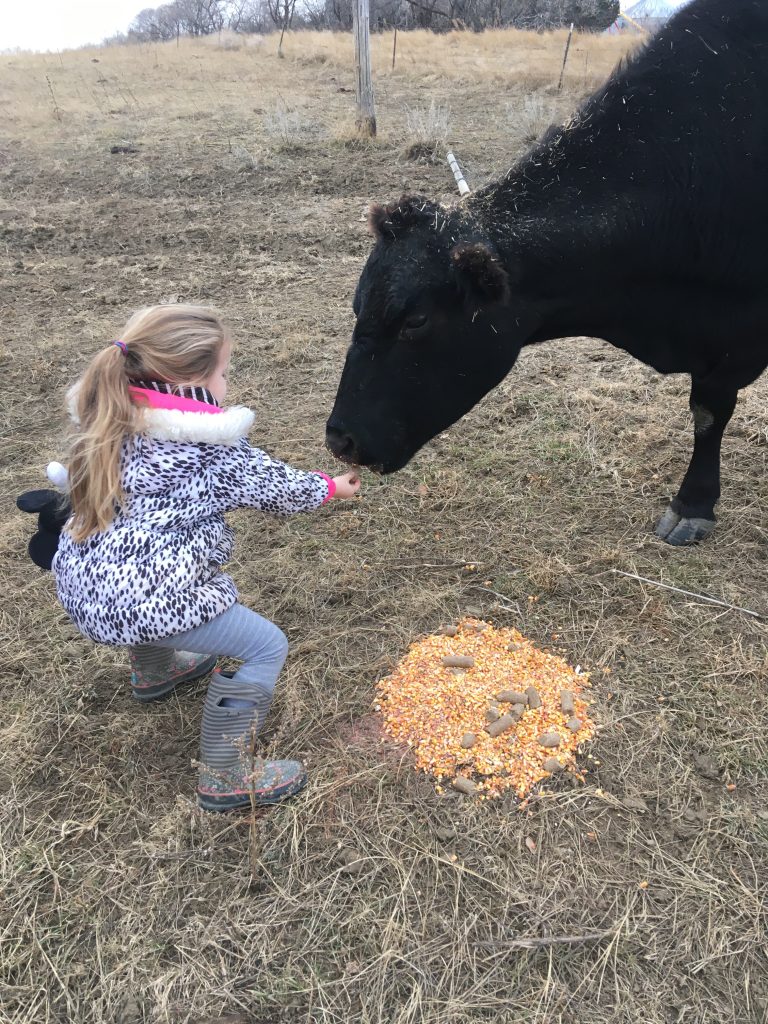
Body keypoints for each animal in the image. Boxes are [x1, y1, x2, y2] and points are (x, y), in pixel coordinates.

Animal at [326, 0, 768, 545]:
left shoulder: (739, 332)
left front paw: (694, 503)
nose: (339, 438)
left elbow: (710, 412)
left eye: (416, 321)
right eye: (357, 305)